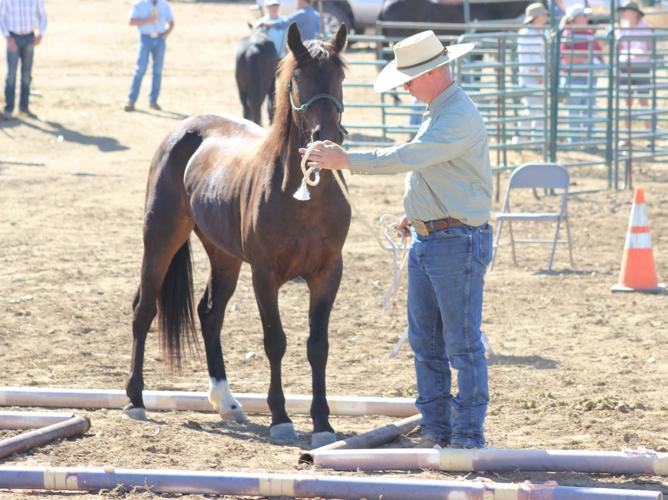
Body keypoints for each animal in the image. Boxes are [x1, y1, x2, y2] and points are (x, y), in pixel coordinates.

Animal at [124, 23, 351, 448]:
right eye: (298, 79)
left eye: (340, 77)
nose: (327, 135)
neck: (303, 196)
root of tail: (184, 129)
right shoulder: (265, 275)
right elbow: (275, 341)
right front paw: (281, 418)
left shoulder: (328, 273)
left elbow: (318, 346)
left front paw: (322, 424)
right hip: (161, 236)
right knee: (144, 310)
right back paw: (135, 399)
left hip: (224, 255)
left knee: (209, 314)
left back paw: (226, 402)